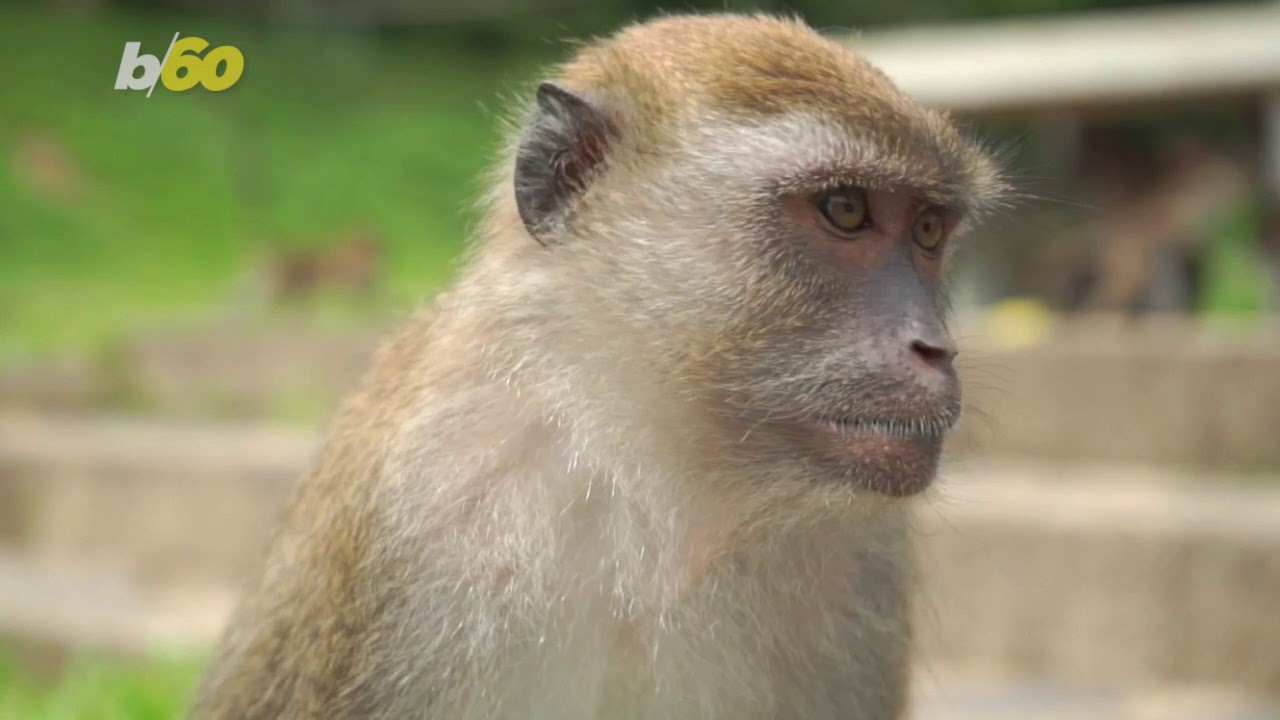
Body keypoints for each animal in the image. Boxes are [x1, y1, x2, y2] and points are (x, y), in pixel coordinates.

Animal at [189, 14, 1006, 720]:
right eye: (845, 210)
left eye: (928, 230)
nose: (936, 346)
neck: (647, 480)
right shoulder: (435, 520)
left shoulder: (867, 553)